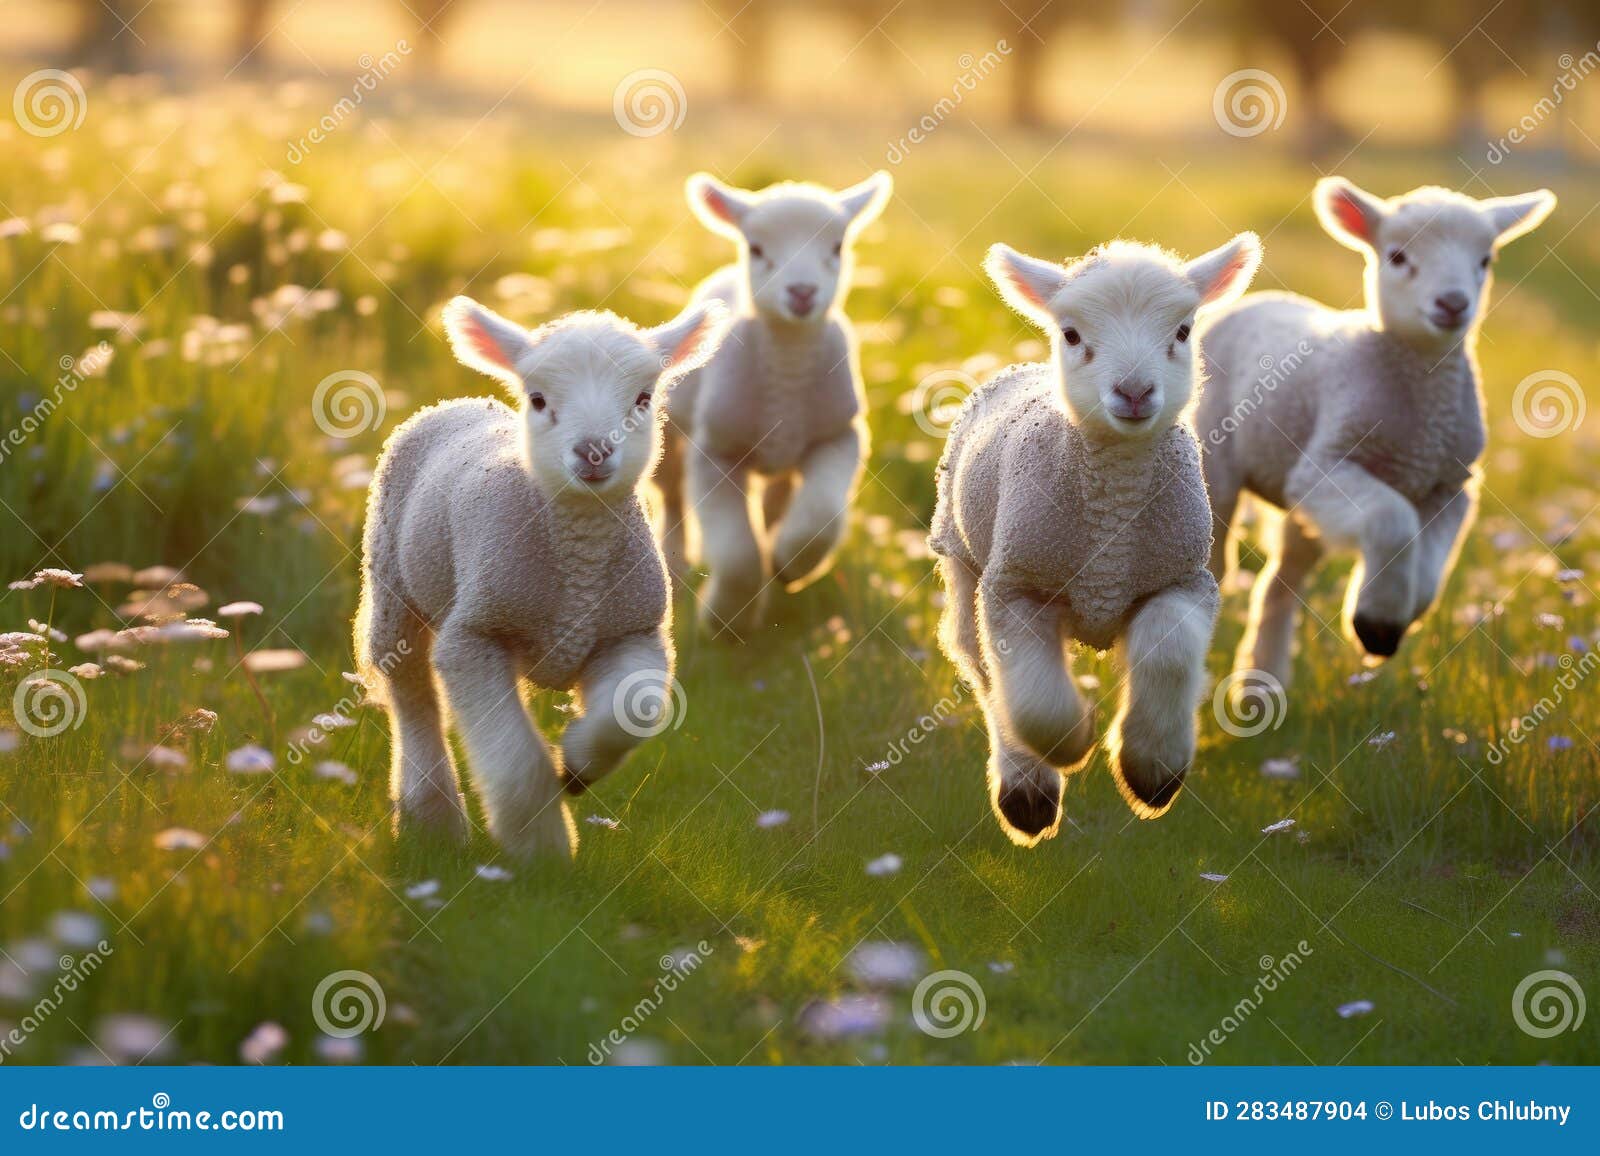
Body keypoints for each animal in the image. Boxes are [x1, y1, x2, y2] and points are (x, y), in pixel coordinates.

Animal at [354, 296, 726, 859]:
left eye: (643, 398)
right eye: (538, 399)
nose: (594, 451)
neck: (578, 568)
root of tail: (463, 402)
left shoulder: (633, 630)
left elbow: (632, 712)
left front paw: (576, 769)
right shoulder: (474, 635)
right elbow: (515, 765)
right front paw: (542, 852)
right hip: (393, 581)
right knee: (411, 690)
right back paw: (434, 819)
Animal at [655, 170, 891, 638]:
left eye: (837, 247)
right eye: (757, 248)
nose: (801, 292)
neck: (788, 359)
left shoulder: (839, 436)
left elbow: (820, 516)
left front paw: (788, 566)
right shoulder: (716, 451)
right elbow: (738, 555)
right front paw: (726, 622)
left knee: (776, 500)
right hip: (673, 435)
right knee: (671, 497)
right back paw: (675, 562)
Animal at [930, 233, 1262, 844]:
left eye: (1183, 331)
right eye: (1072, 334)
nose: (1133, 391)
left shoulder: (1182, 578)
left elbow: (1169, 655)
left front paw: (1152, 773)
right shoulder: (1016, 582)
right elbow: (1035, 702)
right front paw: (1073, 740)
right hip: (965, 560)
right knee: (981, 666)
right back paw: (1026, 792)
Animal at [1196, 179, 1556, 694]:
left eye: (1486, 260)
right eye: (1398, 256)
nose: (1452, 303)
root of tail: (1255, 298)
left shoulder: (1450, 485)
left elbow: (1429, 569)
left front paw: (1401, 614)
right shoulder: (1326, 463)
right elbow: (1393, 520)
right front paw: (1376, 624)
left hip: (1302, 509)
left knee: (1281, 581)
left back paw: (1262, 683)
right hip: (1217, 461)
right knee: (1217, 567)